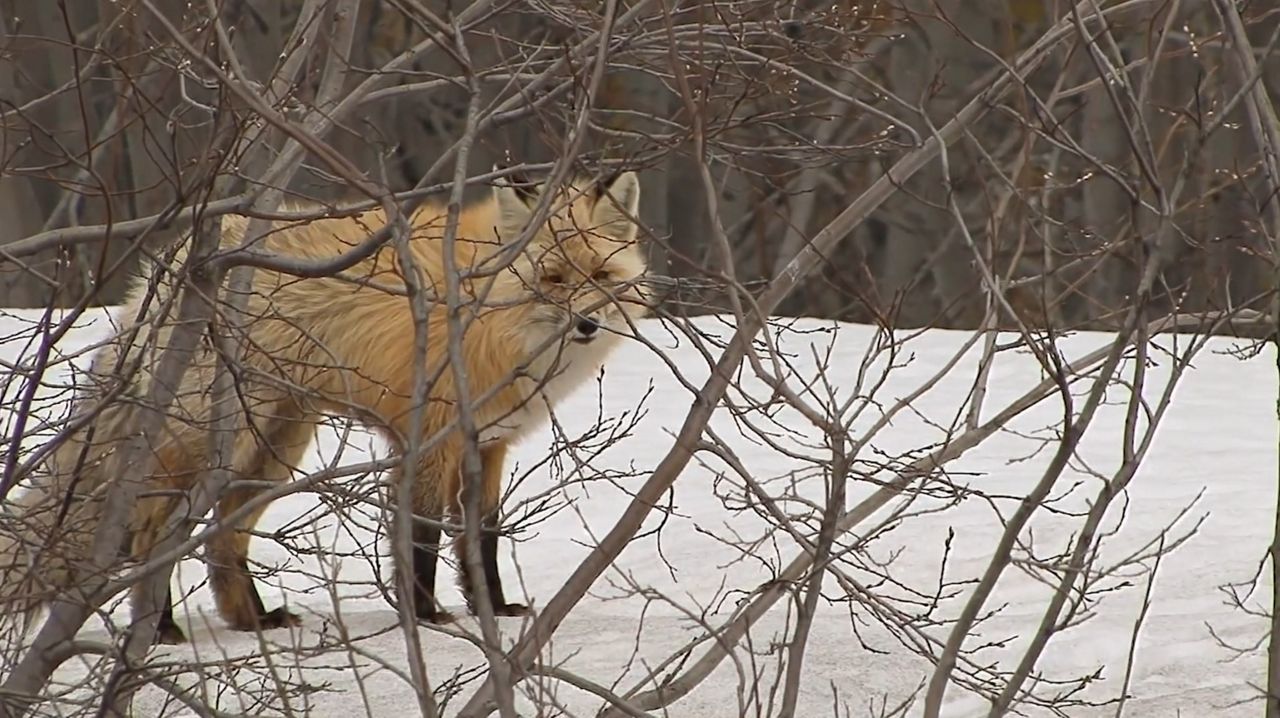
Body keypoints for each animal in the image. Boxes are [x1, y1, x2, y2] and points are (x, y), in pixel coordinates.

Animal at [0, 170, 647, 643]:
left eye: (601, 274)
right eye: (553, 278)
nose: (588, 325)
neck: (482, 307)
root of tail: (176, 265)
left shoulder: (488, 444)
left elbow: (480, 539)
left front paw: (497, 606)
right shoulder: (426, 438)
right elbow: (421, 538)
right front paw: (426, 616)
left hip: (271, 450)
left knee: (221, 540)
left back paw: (254, 621)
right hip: (215, 444)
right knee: (152, 534)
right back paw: (159, 629)